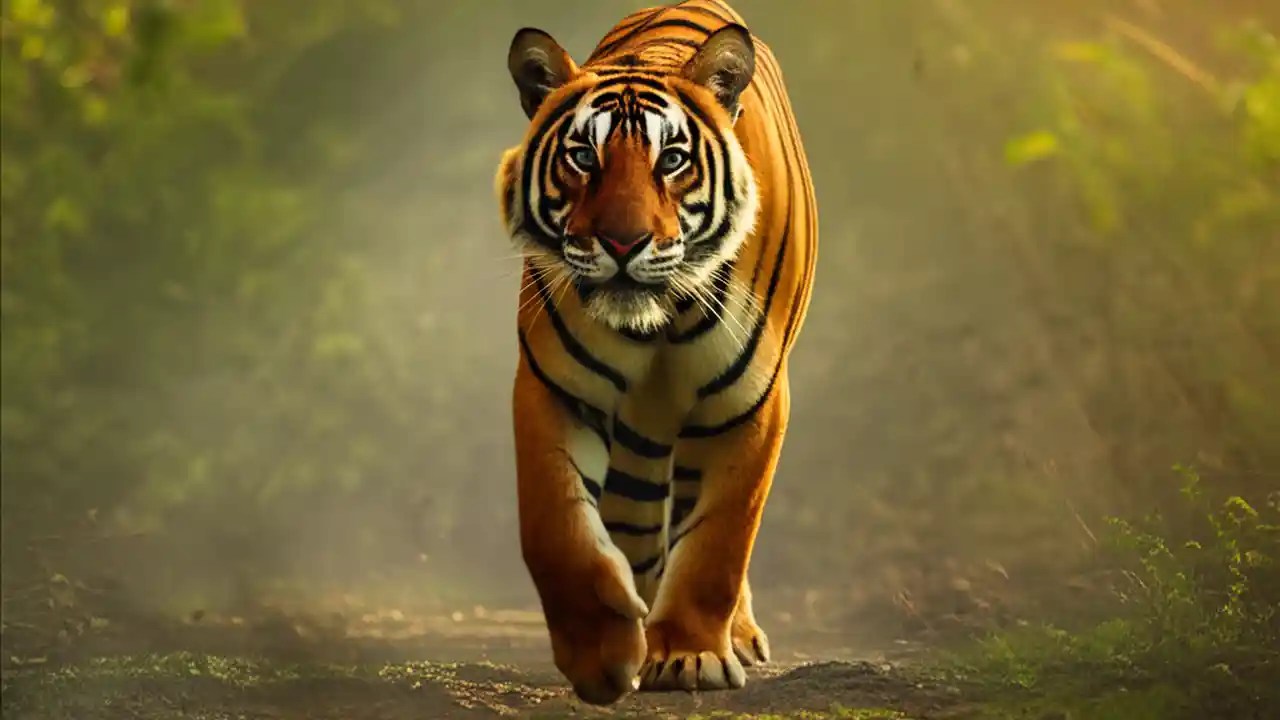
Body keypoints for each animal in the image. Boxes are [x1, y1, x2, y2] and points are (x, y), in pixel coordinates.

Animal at [494, 0, 817, 705]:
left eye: (671, 159)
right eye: (582, 156)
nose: (622, 242)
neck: (660, 320)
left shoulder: (754, 402)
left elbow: (719, 543)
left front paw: (691, 655)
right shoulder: (553, 388)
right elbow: (553, 530)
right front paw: (603, 657)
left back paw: (728, 636)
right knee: (634, 523)